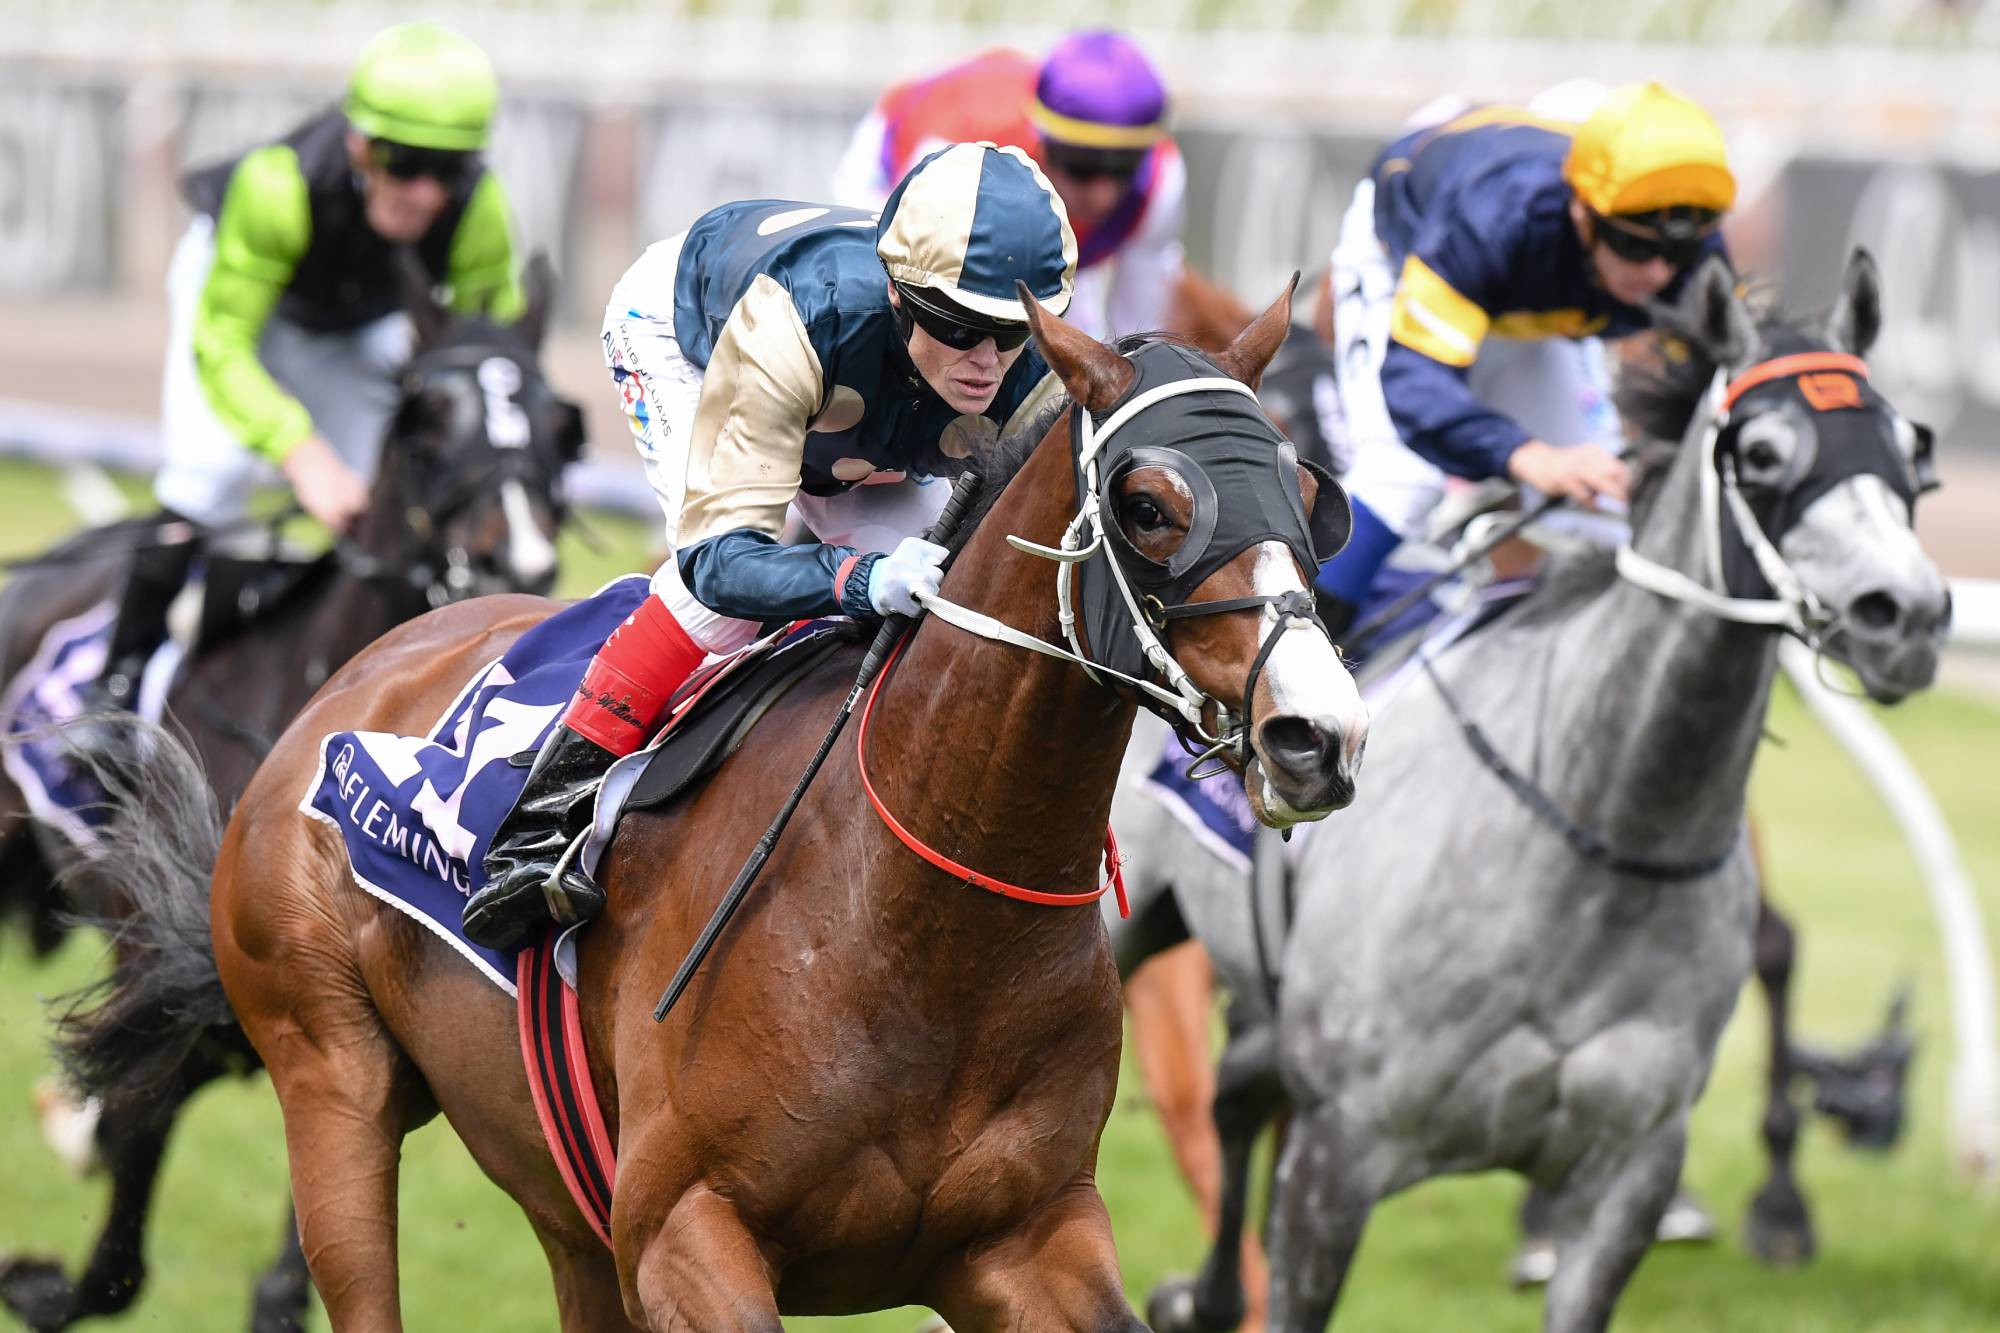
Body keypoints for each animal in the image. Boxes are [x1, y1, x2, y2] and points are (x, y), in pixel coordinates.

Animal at [0, 257, 583, 1333]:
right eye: (424, 423)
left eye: (559, 428)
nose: (517, 558)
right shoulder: (182, 954)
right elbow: (132, 1168)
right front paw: (50, 1262)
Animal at [59, 284, 1368, 1330]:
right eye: (1148, 504)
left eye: (1312, 491)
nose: (1317, 733)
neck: (918, 913)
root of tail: (347, 682)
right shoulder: (688, 1233)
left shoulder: (1027, 1236)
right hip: (331, 1076)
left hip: (564, 1204)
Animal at [1143, 248, 1950, 1333]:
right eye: (1763, 452)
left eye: (1912, 445)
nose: (1904, 614)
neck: (1602, 825)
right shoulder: (1341, 1146)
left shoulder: (1627, 1178)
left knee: (1234, 1084)